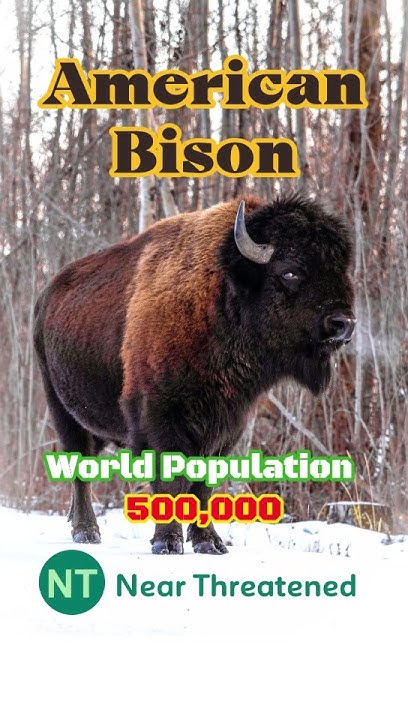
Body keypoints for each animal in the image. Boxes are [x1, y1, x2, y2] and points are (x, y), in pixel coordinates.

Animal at [34, 195, 355, 554]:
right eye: (290, 271)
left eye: (341, 269)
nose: (343, 323)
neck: (220, 297)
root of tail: (46, 297)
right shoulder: (159, 417)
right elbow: (168, 478)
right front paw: (167, 542)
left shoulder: (227, 425)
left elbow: (203, 484)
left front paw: (209, 543)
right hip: (62, 410)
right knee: (79, 467)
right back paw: (86, 531)